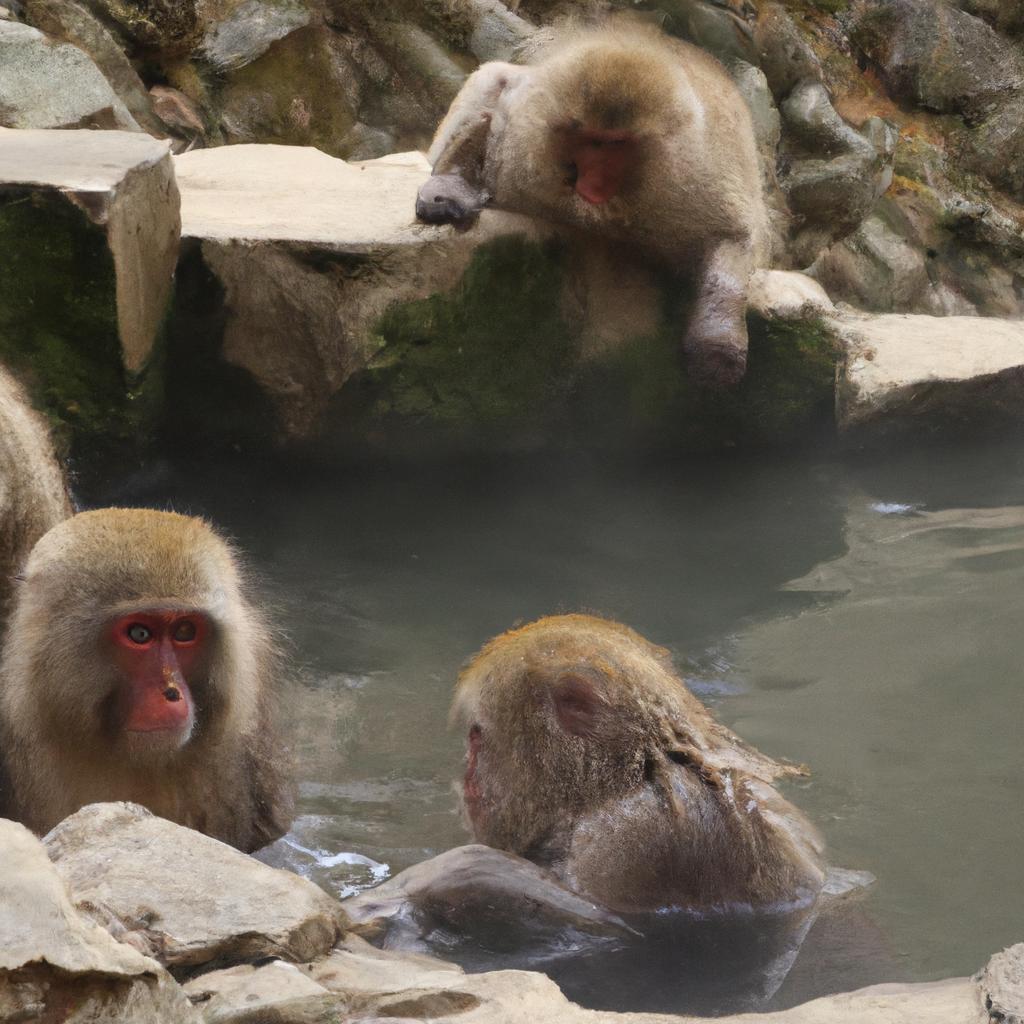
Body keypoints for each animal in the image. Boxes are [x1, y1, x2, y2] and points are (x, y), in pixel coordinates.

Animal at [415, 20, 769, 386]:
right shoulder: (525, 137)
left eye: (615, 145)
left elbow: (733, 235)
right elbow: (501, 96)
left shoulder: (696, 176)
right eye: (589, 141)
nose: (592, 179)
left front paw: (717, 347)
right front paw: (456, 178)